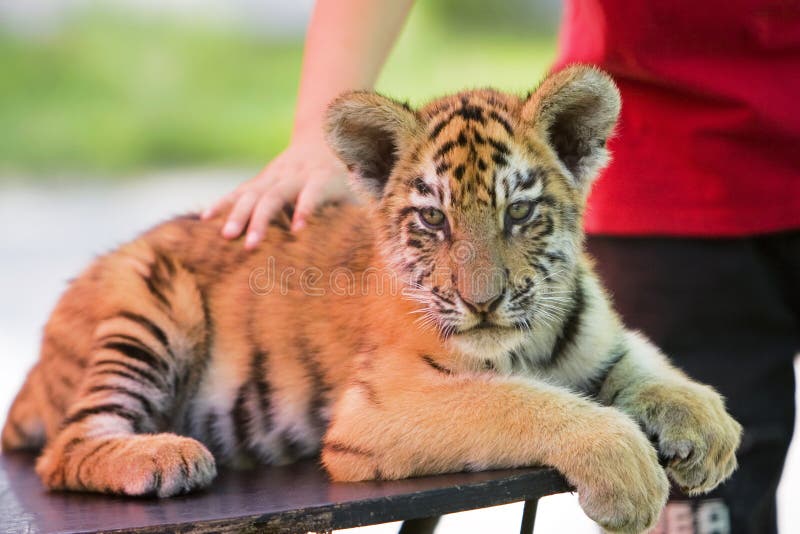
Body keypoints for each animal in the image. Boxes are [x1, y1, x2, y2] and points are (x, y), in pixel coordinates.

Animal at [1, 66, 741, 534]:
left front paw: (709, 427)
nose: (481, 303)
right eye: (434, 220)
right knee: (65, 447)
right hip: (151, 300)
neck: (528, 338)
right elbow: (522, 401)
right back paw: (164, 456)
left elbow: (644, 364)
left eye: (519, 213)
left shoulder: (597, 339)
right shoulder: (386, 402)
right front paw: (626, 470)